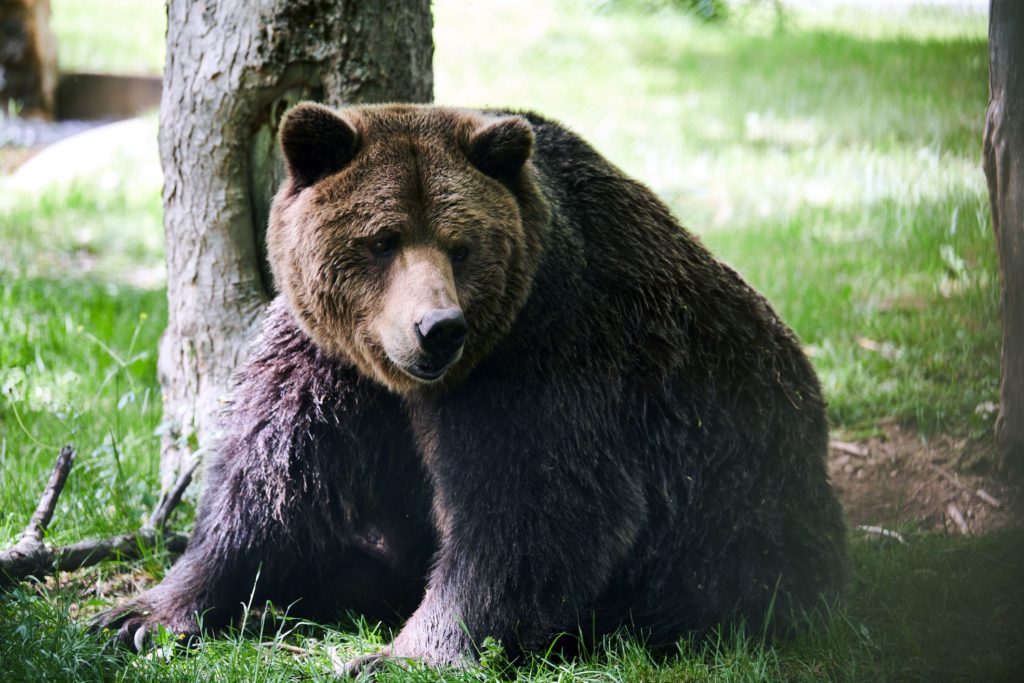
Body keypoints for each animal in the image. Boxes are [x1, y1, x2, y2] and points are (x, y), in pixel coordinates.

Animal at [95, 102, 847, 673]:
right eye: (382, 239)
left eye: (461, 244)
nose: (438, 329)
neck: (407, 382)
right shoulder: (326, 358)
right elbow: (268, 478)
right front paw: (141, 612)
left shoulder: (540, 362)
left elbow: (532, 513)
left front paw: (400, 656)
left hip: (737, 506)